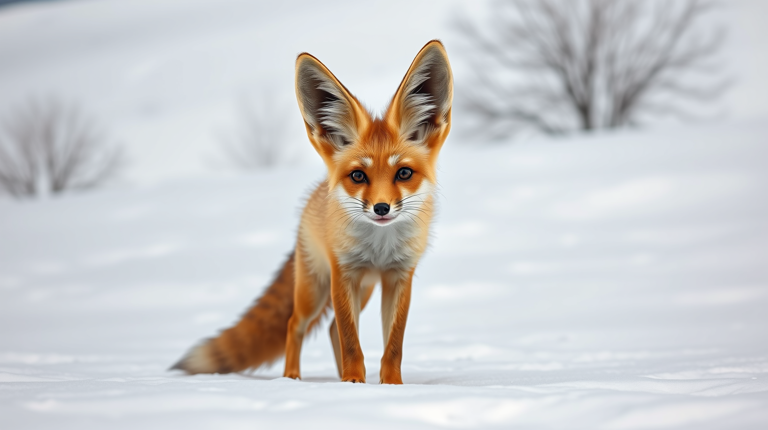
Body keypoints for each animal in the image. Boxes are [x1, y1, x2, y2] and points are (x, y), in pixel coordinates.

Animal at [171, 40, 453, 384]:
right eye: (358, 176)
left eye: (403, 173)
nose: (381, 208)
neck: (380, 246)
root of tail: (313, 197)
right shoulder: (343, 273)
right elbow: (350, 341)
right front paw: (353, 383)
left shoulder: (399, 276)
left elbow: (393, 346)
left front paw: (390, 386)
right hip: (315, 289)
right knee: (296, 324)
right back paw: (293, 378)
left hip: (365, 288)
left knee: (330, 329)